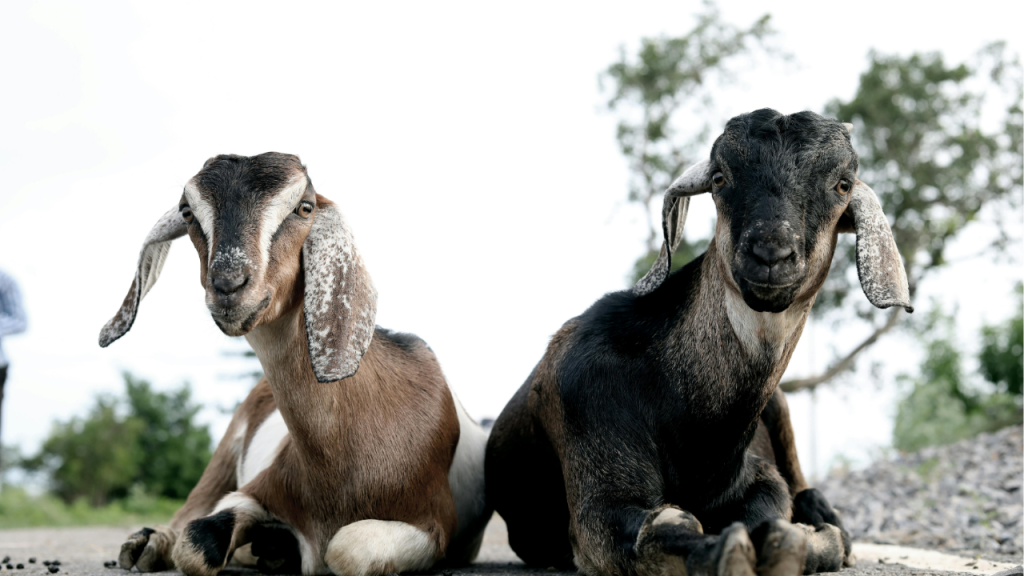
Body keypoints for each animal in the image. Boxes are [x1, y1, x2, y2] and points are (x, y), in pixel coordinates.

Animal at [98, 153, 490, 576]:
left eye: (305, 207)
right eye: (187, 211)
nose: (229, 285)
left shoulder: (436, 523)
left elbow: (346, 548)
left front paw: (276, 548)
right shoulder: (258, 489)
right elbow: (196, 542)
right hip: (224, 452)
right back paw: (148, 544)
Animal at [485, 110, 912, 576]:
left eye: (843, 184)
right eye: (721, 178)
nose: (770, 254)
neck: (701, 433)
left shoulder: (754, 476)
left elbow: (773, 502)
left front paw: (797, 540)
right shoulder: (594, 450)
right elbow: (656, 527)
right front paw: (729, 552)